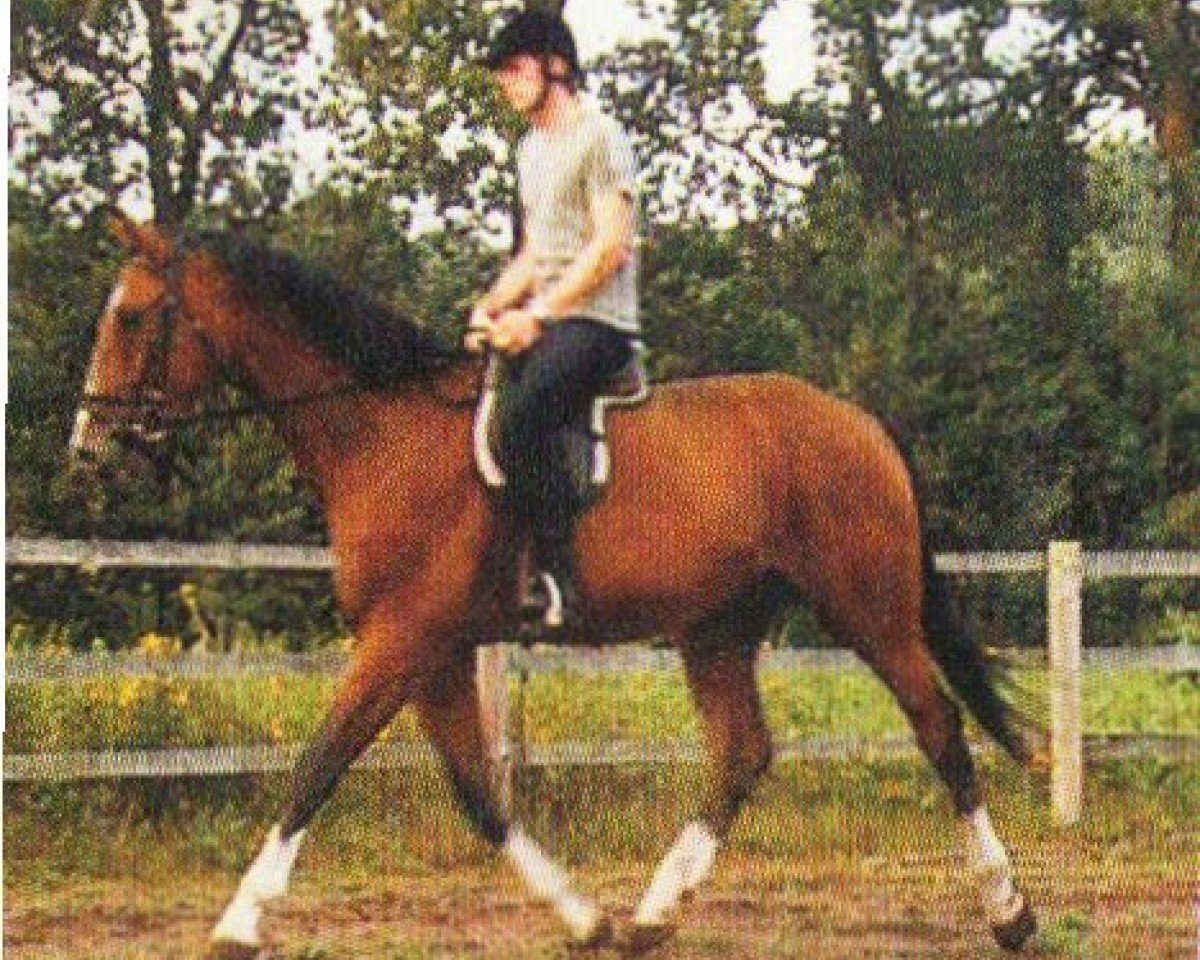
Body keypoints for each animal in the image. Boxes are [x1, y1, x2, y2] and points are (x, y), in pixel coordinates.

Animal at [69, 213, 1038, 957]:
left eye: (133, 316)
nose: (87, 446)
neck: (383, 433)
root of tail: (858, 419)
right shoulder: (437, 652)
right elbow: (477, 795)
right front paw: (584, 919)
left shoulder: (399, 641)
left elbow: (318, 765)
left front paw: (239, 921)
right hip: (717, 625)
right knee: (742, 752)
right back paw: (652, 916)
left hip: (868, 608)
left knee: (939, 728)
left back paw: (1010, 911)